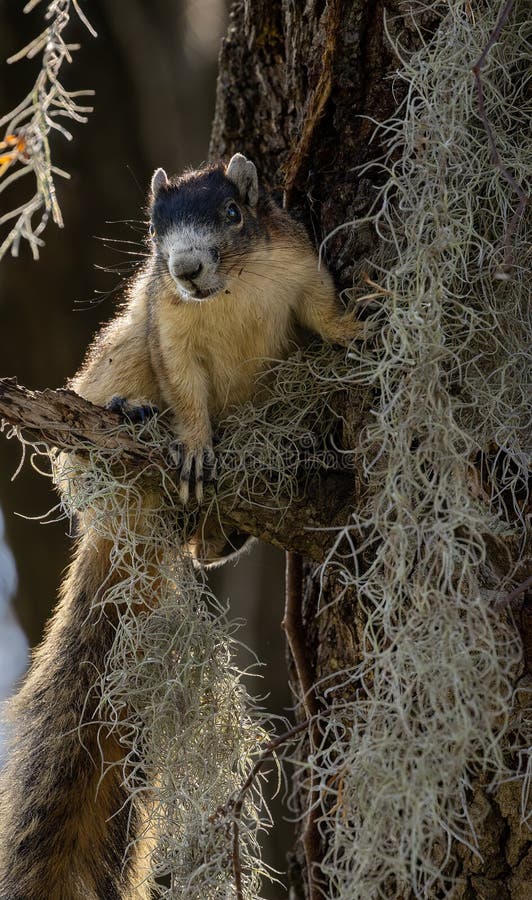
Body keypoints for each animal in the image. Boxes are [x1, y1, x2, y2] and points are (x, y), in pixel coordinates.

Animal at [0, 153, 365, 899]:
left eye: (232, 213)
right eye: (154, 232)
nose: (186, 267)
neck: (226, 295)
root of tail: (127, 532)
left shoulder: (300, 270)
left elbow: (321, 311)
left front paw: (354, 326)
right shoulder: (166, 331)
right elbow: (187, 393)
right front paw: (194, 444)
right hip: (116, 362)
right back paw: (129, 414)